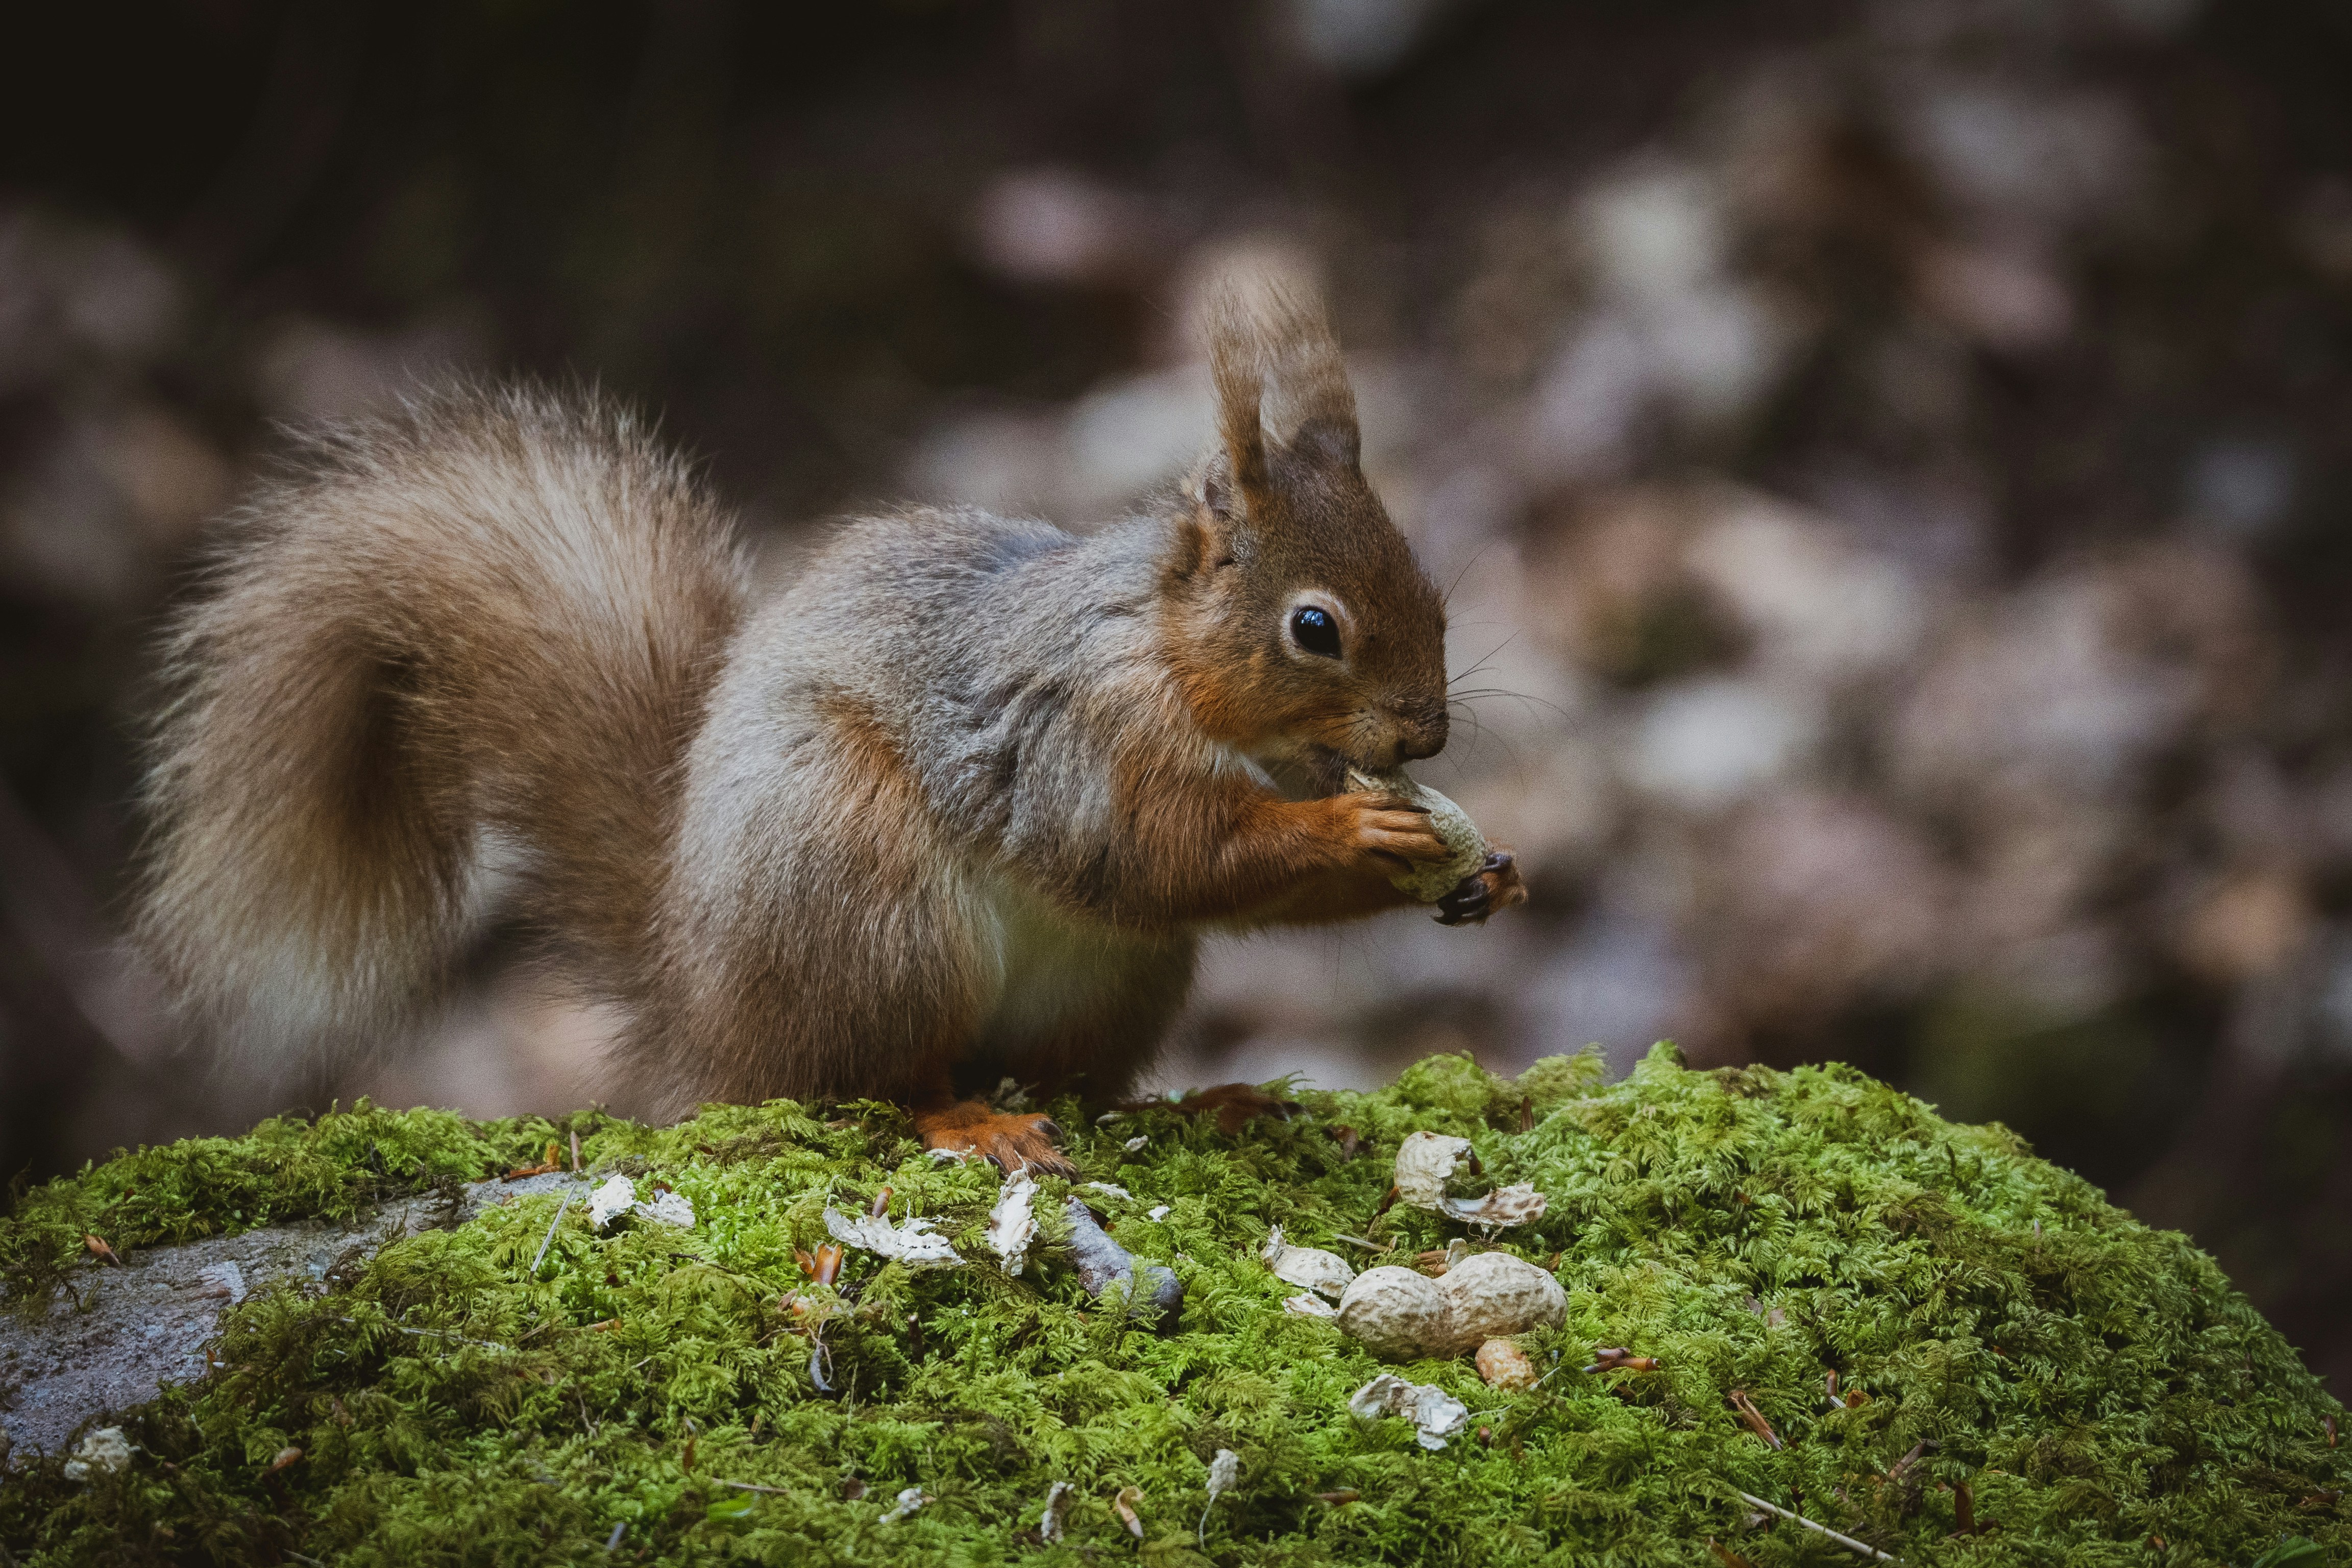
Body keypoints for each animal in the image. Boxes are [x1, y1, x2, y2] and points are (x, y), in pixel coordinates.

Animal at [134, 278, 1527, 1174]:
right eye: (1314, 626)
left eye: (1436, 593)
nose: (1426, 737)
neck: (1168, 653)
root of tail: (705, 1013)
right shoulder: (1078, 733)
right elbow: (1155, 851)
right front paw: (1358, 833)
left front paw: (1490, 874)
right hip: (867, 900)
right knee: (876, 1081)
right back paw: (970, 1122)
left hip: (1115, 981)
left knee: (1078, 1082)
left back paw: (1212, 1105)